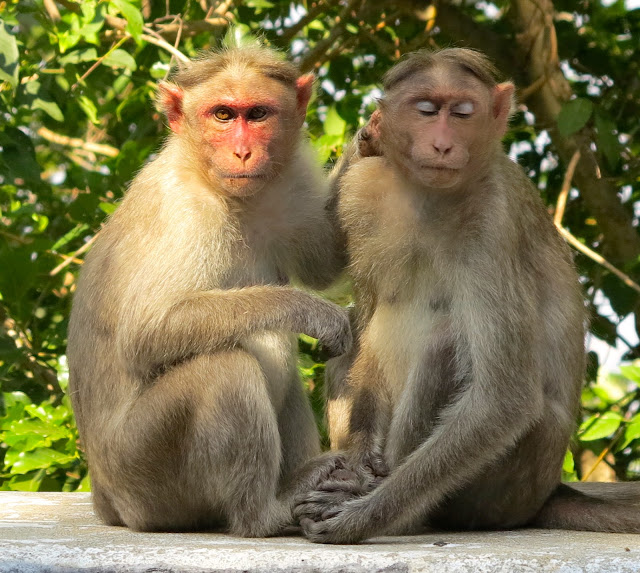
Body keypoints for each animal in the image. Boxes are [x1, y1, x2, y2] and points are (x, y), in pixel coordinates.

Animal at [66, 44, 353, 536]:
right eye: (222, 114)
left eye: (257, 113)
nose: (242, 151)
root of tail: (106, 503)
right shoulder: (183, 211)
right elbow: (148, 331)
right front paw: (315, 312)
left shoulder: (289, 179)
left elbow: (325, 261)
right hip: (143, 474)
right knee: (227, 368)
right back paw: (264, 513)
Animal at [294, 48, 640, 544]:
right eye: (425, 110)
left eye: (462, 113)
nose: (442, 145)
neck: (427, 196)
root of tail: (546, 492)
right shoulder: (361, 195)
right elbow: (358, 309)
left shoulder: (494, 225)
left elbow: (503, 399)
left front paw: (362, 516)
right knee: (352, 342)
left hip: (506, 483)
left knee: (447, 342)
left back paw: (396, 508)